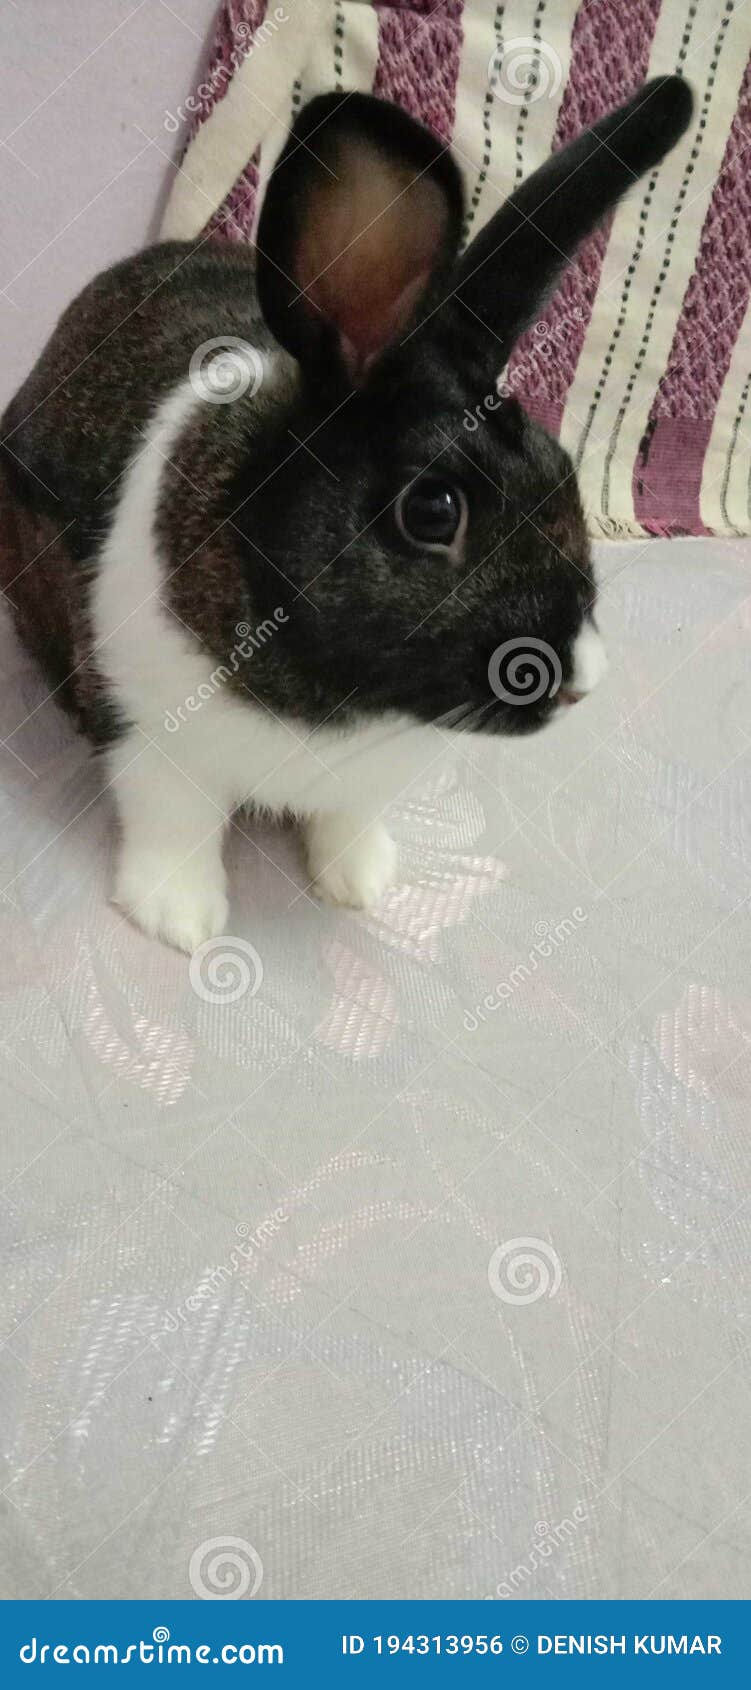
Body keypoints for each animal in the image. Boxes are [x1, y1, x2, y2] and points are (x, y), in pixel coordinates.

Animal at [0, 76, 692, 953]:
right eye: (431, 511)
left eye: (560, 473)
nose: (575, 683)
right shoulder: (153, 746)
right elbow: (176, 829)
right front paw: (180, 921)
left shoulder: (362, 786)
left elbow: (346, 822)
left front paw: (361, 885)